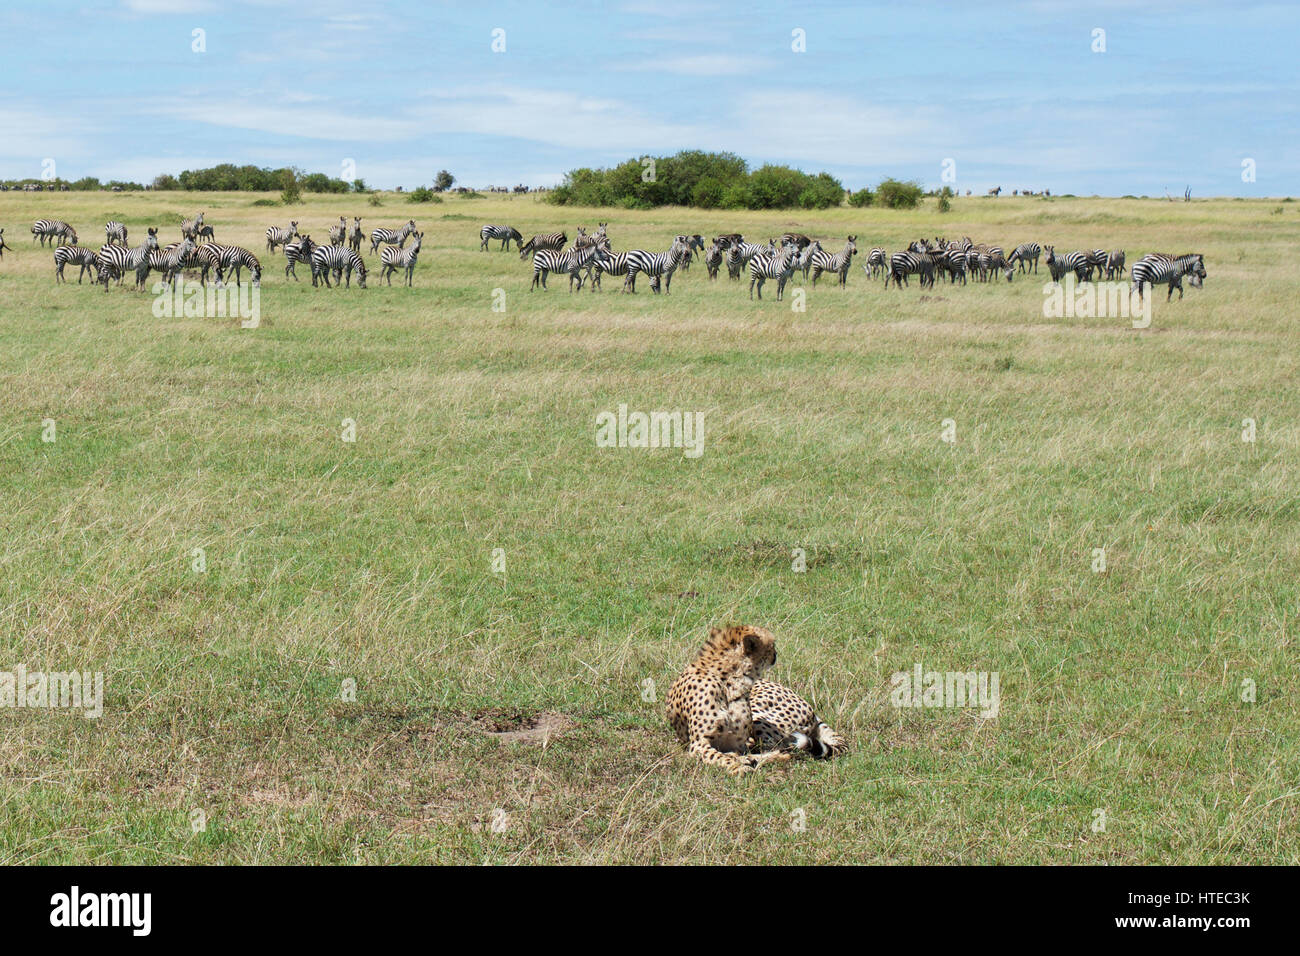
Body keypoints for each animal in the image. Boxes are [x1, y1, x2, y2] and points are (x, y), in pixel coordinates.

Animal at [666, 624, 847, 774]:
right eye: (772, 644)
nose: (776, 654)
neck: (730, 681)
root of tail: (812, 711)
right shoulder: (698, 744)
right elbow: (719, 756)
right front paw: (737, 766)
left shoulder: (739, 743)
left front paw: (743, 761)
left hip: (761, 718)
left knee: (782, 749)